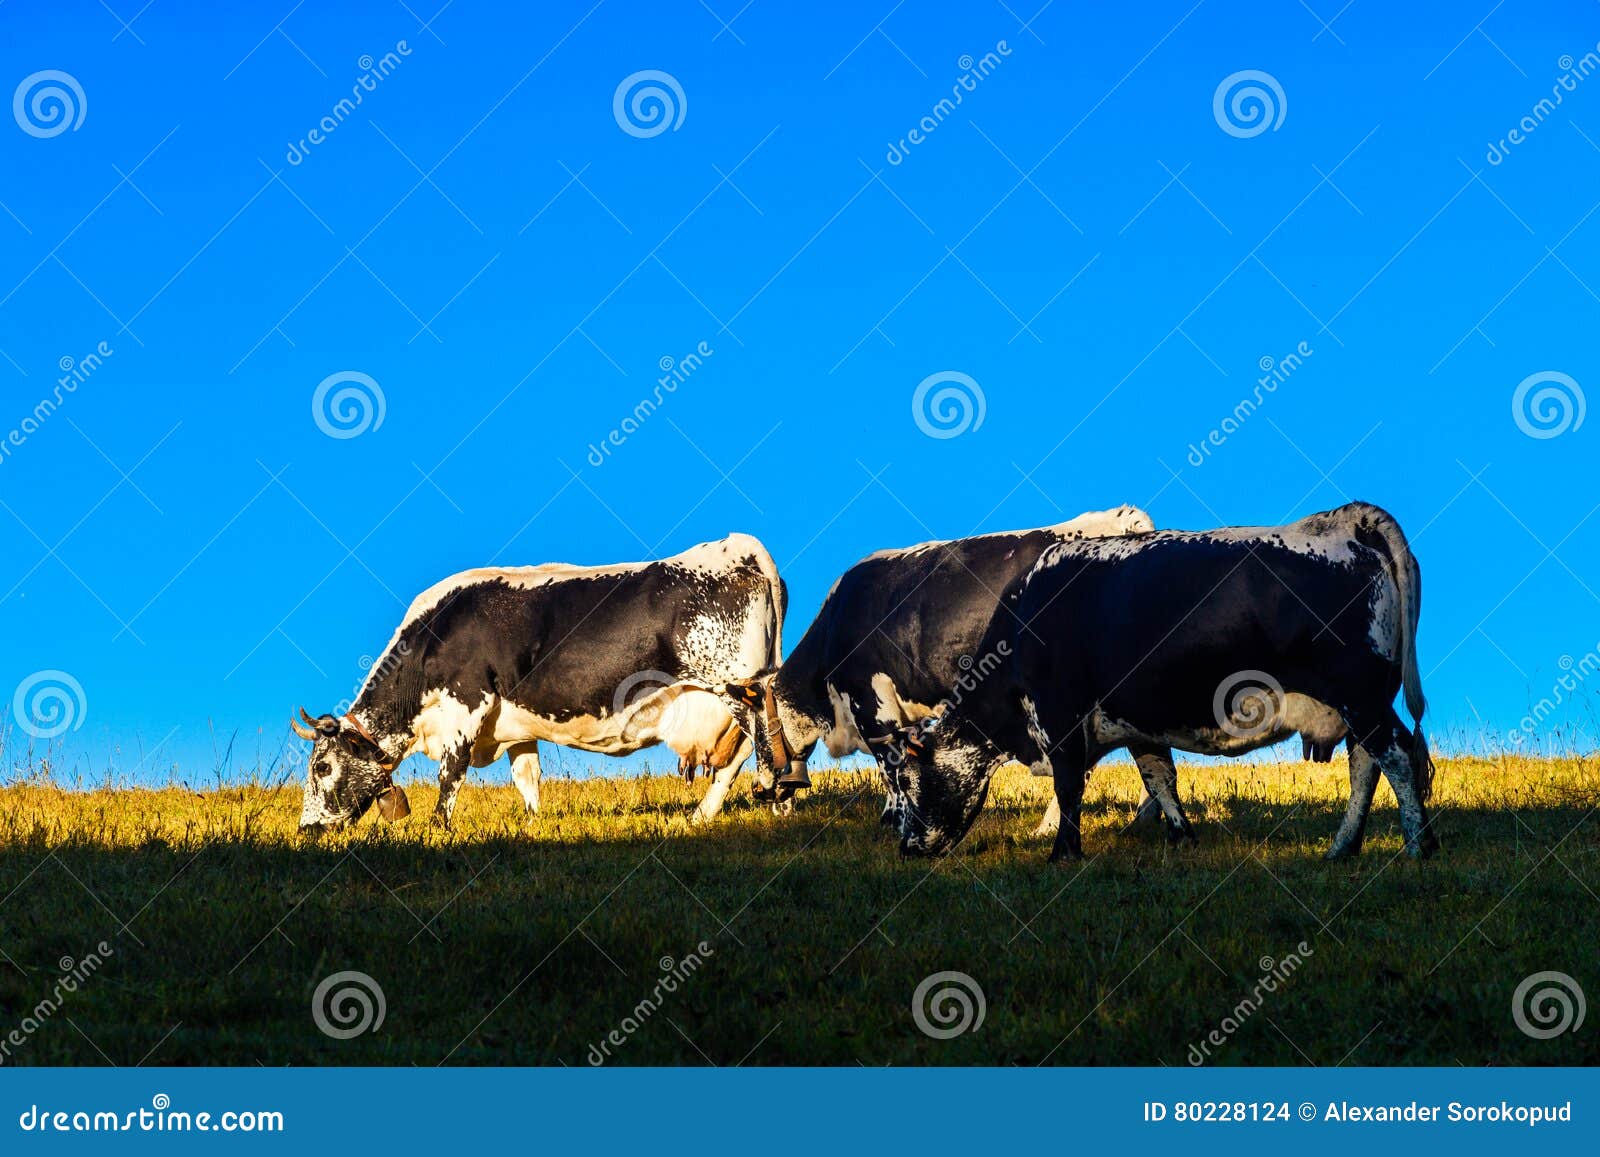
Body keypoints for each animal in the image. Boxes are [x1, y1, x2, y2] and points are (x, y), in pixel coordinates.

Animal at [290, 533, 784, 833]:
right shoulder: (514, 728)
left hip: (736, 685)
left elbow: (451, 775)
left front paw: (437, 828)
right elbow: (527, 778)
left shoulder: (466, 706)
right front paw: (532, 826)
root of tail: (738, 546)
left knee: (761, 746)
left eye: (322, 767)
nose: (307, 829)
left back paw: (759, 805)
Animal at [882, 502, 1435, 863]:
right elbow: (1159, 778)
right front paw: (1182, 837)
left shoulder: (1060, 715)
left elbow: (1068, 786)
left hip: (1359, 694)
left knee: (1396, 756)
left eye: (906, 781)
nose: (906, 847)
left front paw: (1063, 853)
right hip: (1360, 703)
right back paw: (1343, 847)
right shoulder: (1136, 723)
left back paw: (1416, 845)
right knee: (1366, 765)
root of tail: (1344, 522)